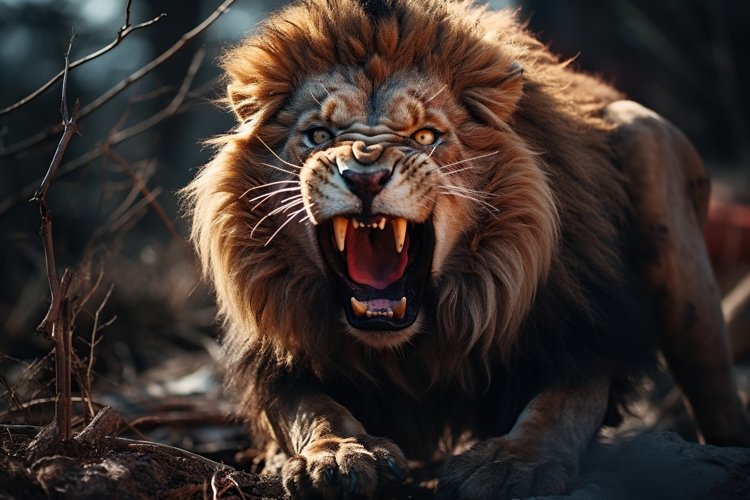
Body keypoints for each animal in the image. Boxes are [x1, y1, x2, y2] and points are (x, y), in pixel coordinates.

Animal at [183, 0, 750, 498]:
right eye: (319, 135)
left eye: (425, 136)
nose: (364, 177)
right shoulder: (280, 356)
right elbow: (308, 408)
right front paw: (338, 452)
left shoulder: (584, 331)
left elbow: (560, 406)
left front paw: (512, 462)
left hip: (648, 146)